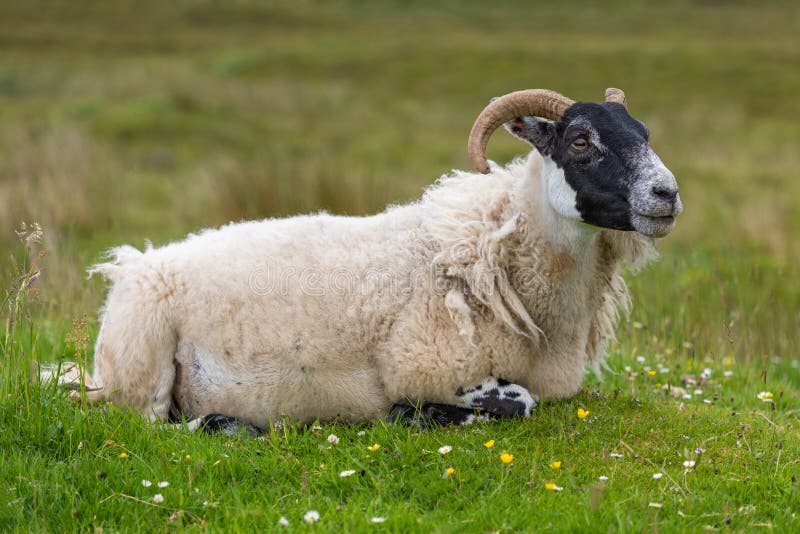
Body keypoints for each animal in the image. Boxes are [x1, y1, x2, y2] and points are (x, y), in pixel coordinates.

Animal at [61, 87, 681, 430]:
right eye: (580, 140)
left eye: (646, 133)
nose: (667, 194)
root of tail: (134, 266)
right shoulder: (424, 366)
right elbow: (515, 402)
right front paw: (410, 416)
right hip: (141, 374)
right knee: (153, 428)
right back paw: (230, 425)